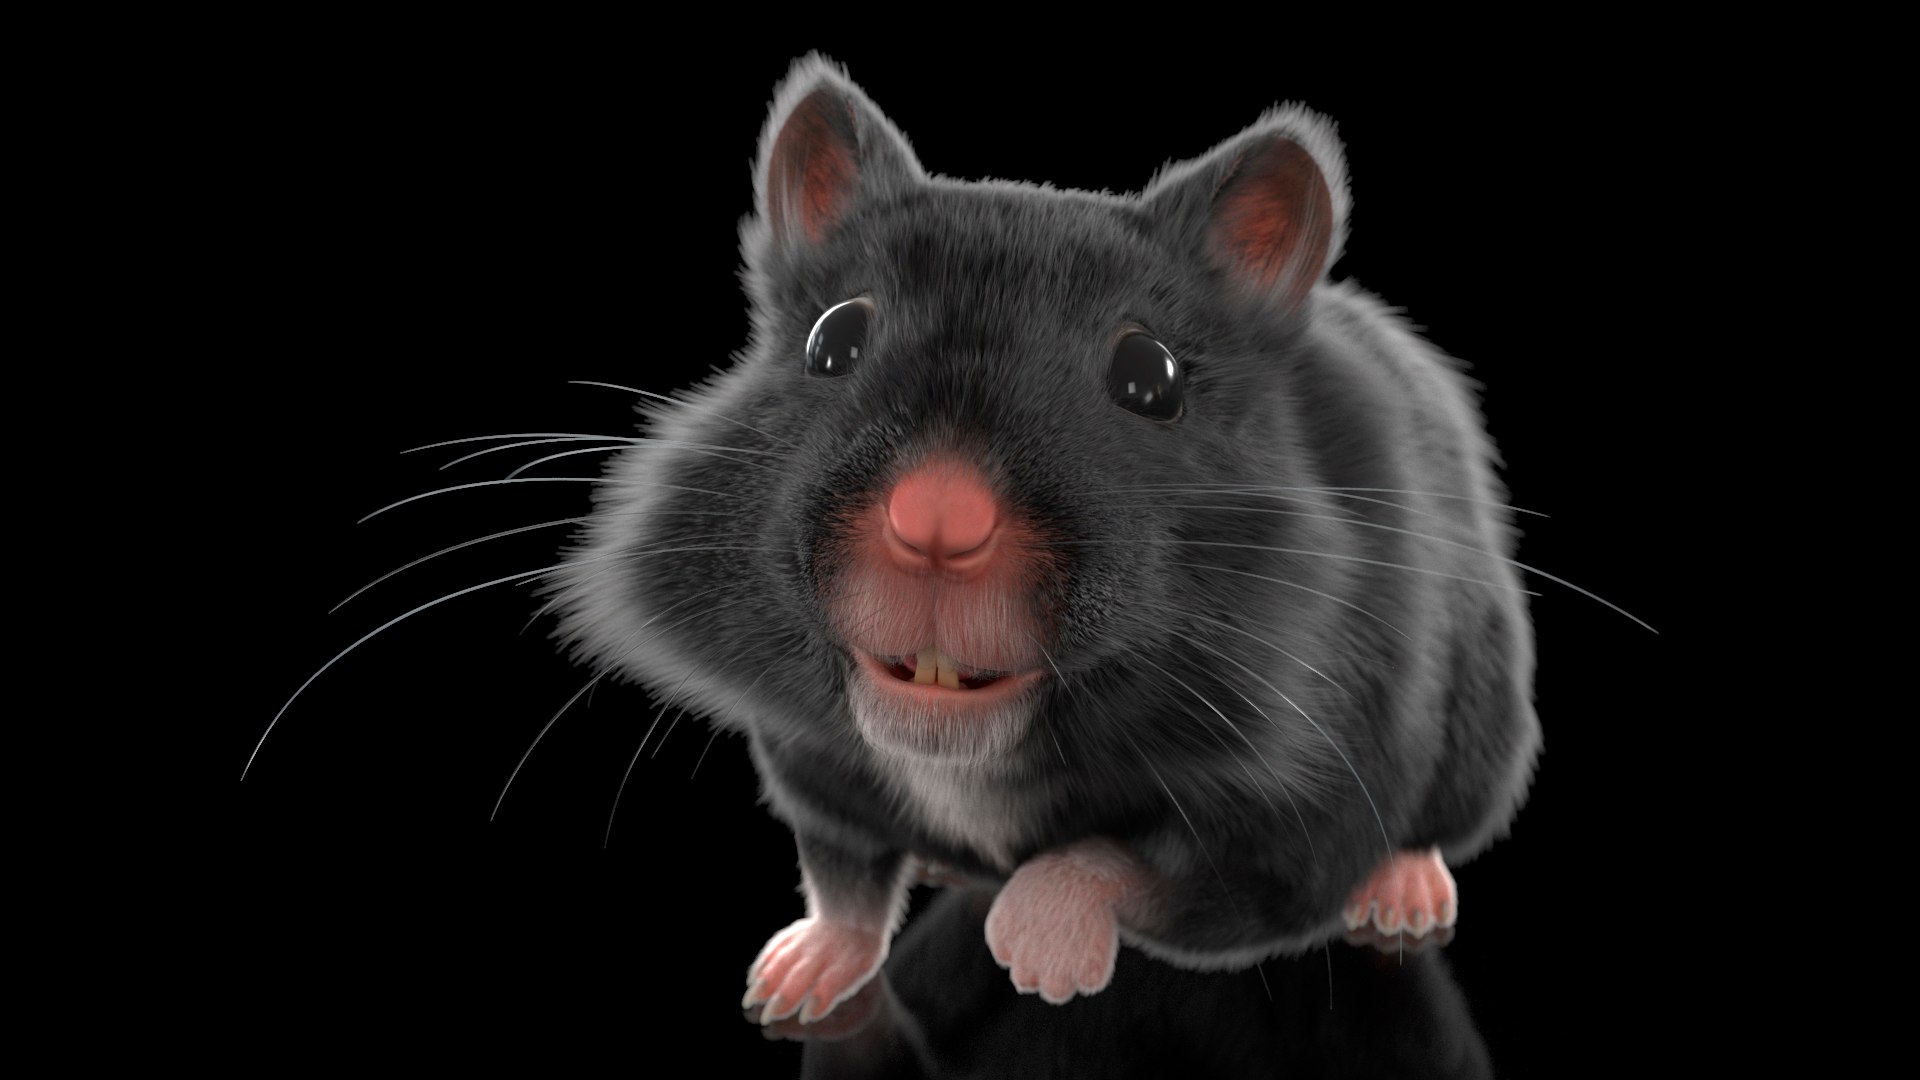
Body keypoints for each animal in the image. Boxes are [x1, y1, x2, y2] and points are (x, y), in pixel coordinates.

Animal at [545, 54, 1541, 1024]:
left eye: (1151, 377)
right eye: (833, 339)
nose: (936, 523)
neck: (965, 759)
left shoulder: (1302, 821)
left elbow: (1130, 869)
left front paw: (1039, 962)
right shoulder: (814, 765)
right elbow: (844, 878)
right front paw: (785, 983)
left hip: (1480, 722)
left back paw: (1404, 899)